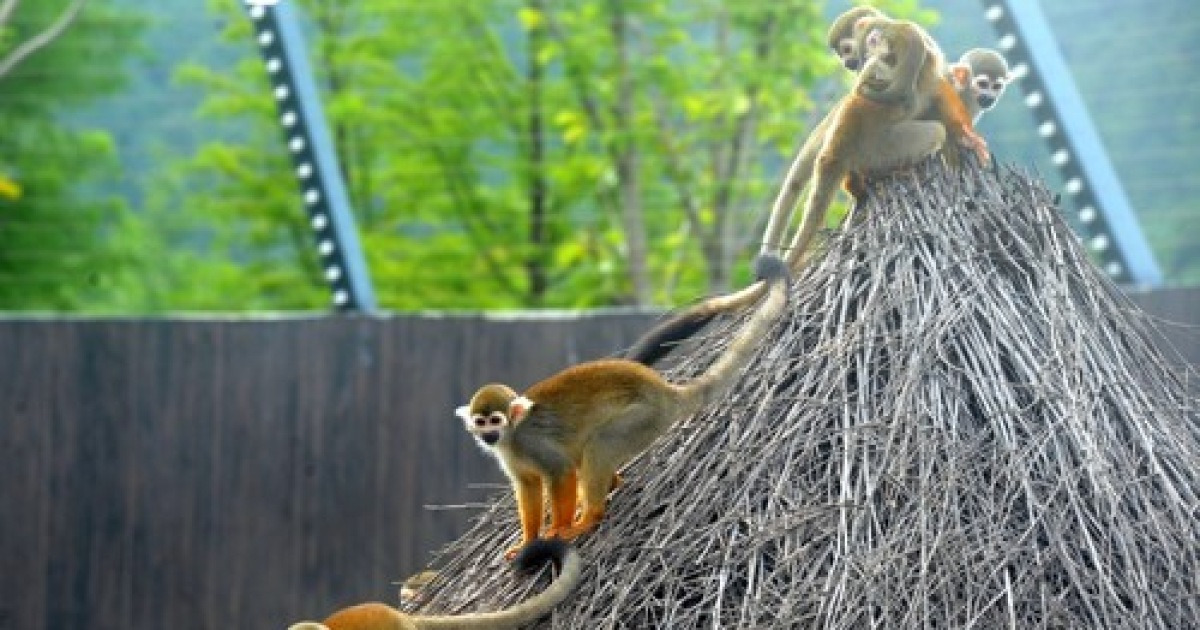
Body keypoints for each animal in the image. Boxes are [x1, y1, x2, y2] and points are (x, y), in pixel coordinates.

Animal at [460, 254, 789, 558]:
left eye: (496, 420)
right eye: (481, 422)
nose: (488, 435)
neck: (511, 437)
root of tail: (664, 391)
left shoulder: (531, 441)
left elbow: (560, 472)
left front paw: (556, 529)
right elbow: (528, 486)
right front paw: (527, 541)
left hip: (643, 418)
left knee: (600, 442)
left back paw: (590, 516)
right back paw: (607, 488)